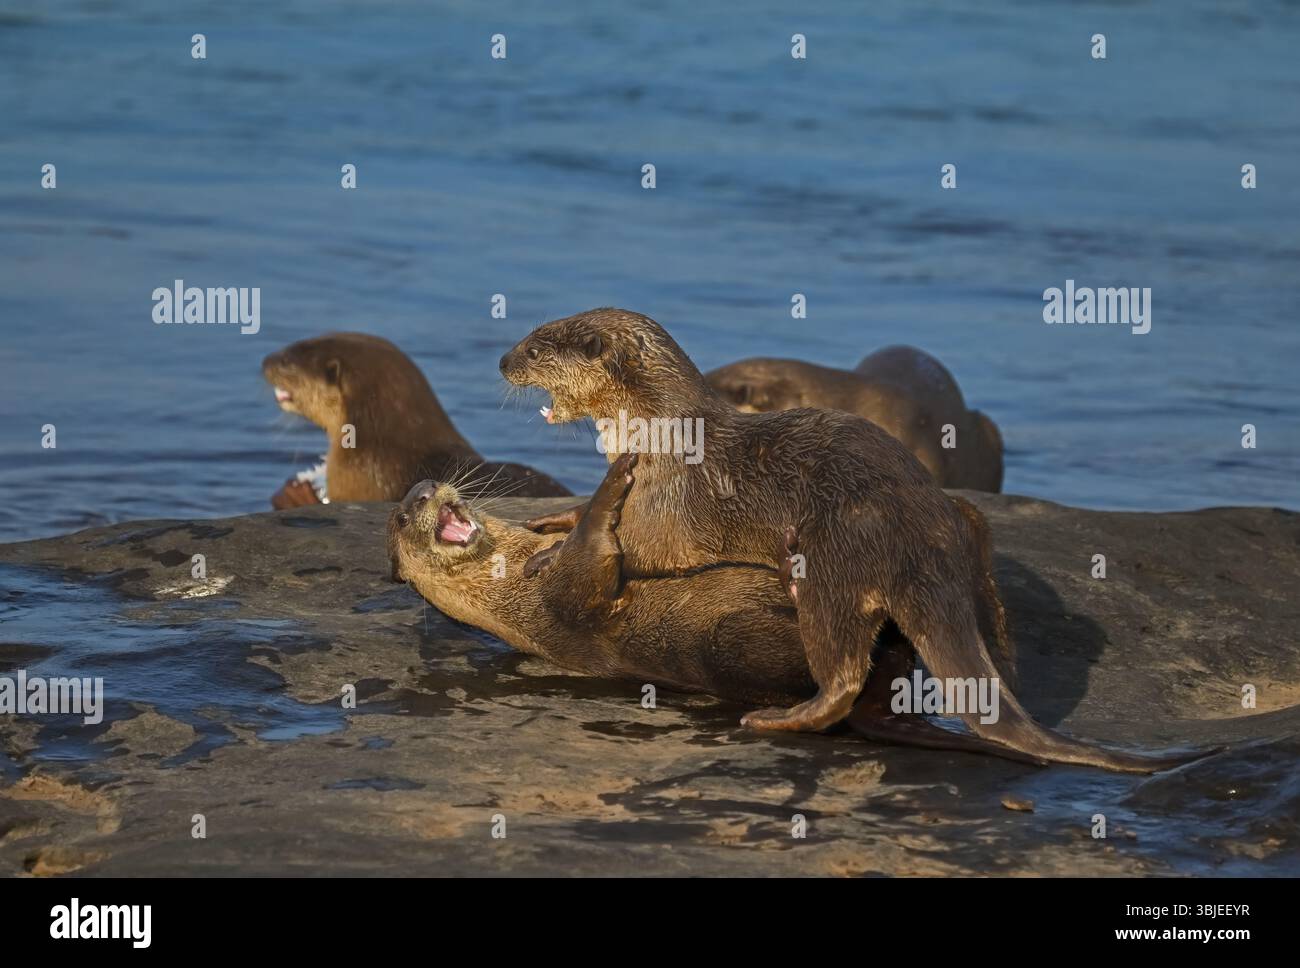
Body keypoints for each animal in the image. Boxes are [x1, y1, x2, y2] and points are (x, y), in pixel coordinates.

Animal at [390, 454, 1201, 772]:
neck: (515, 587)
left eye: (417, 496)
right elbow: (595, 558)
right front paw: (616, 478)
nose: (422, 491)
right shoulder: (564, 602)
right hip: (737, 643)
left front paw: (563, 510)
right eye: (403, 517)